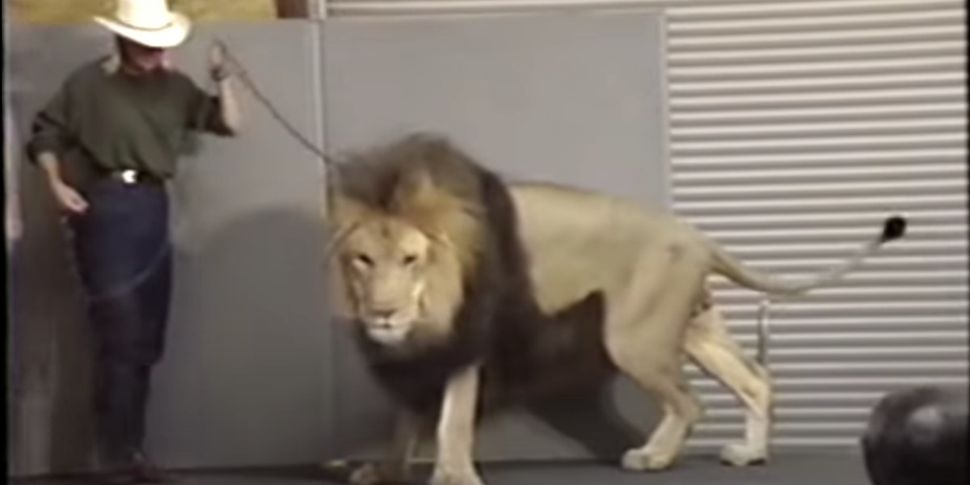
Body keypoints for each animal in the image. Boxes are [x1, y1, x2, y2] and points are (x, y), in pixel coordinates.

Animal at [324, 134, 907, 485]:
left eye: (410, 259)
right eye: (363, 260)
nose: (383, 313)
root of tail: (697, 235)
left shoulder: (468, 338)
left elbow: (452, 416)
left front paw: (452, 474)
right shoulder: (419, 353)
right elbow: (406, 417)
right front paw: (385, 471)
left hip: (633, 337)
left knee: (690, 403)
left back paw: (653, 457)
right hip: (692, 327)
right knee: (755, 380)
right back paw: (751, 453)